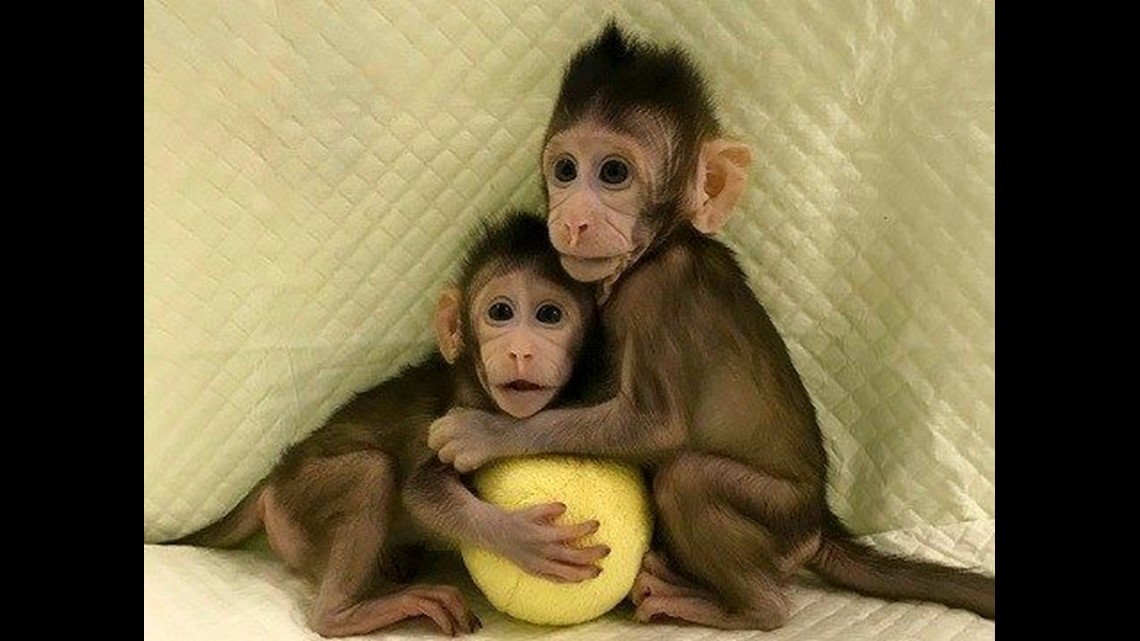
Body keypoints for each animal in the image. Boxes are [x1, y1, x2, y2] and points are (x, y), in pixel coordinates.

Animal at [171, 211, 610, 637]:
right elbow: (422, 490)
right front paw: (522, 538)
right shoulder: (453, 414)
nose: (521, 351)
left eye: (549, 315)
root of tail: (275, 478)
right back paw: (347, 613)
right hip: (299, 499)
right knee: (372, 470)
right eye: (500, 312)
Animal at [429, 23, 995, 630]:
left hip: (776, 515)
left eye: (613, 173)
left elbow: (655, 427)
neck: (663, 244)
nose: (574, 219)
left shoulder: (656, 293)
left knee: (689, 480)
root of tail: (818, 523)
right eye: (565, 170)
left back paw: (736, 604)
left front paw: (485, 432)